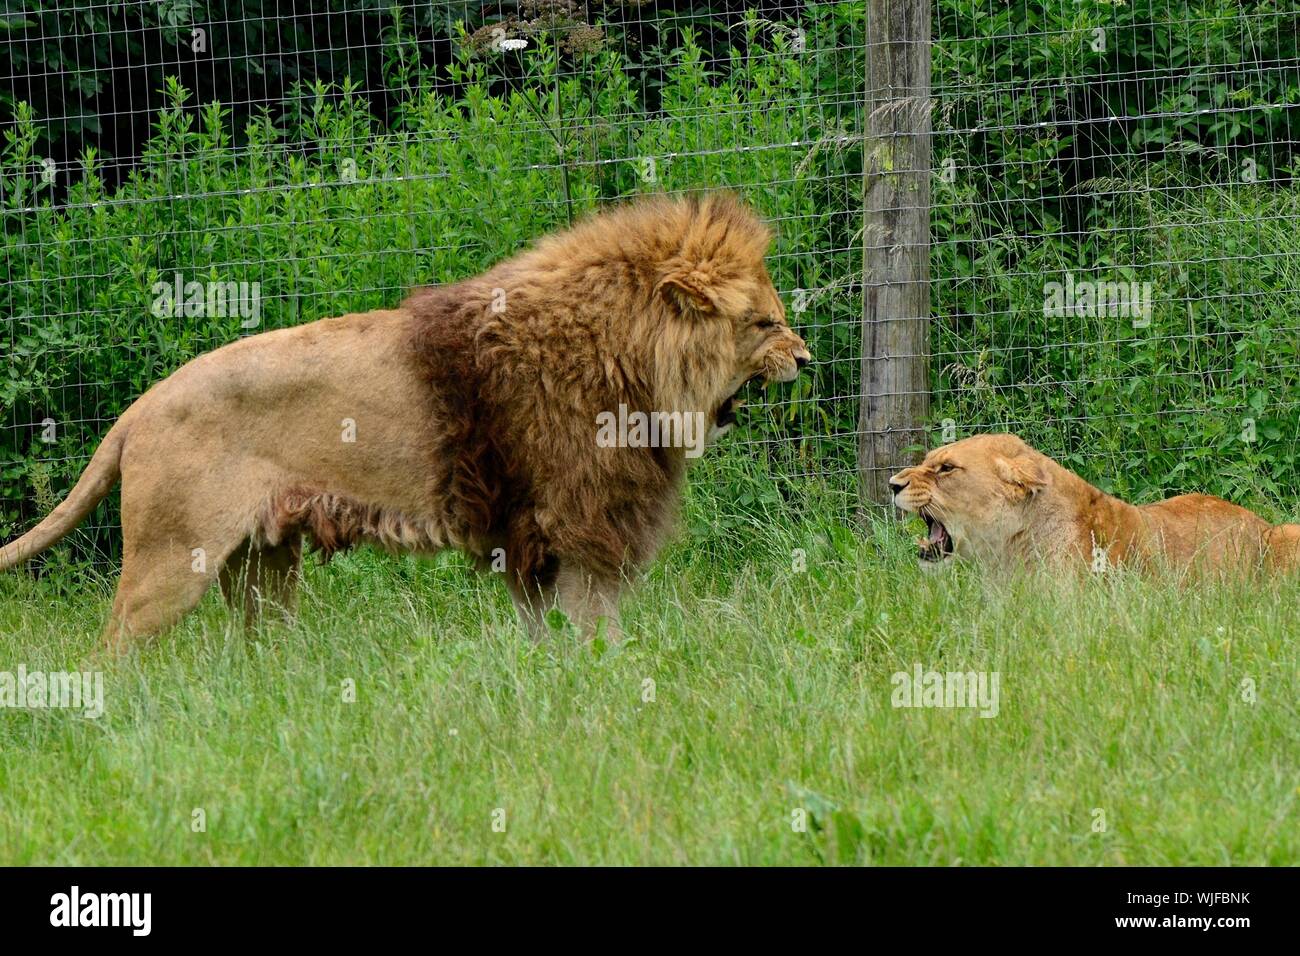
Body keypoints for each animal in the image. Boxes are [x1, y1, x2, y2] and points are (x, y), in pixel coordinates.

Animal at [0, 193, 811, 651]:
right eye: (766, 323)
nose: (805, 357)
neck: (628, 354)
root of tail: (138, 409)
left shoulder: (532, 538)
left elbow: (545, 631)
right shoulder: (579, 524)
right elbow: (596, 627)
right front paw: (615, 681)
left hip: (263, 565)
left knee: (254, 653)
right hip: (171, 561)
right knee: (109, 653)